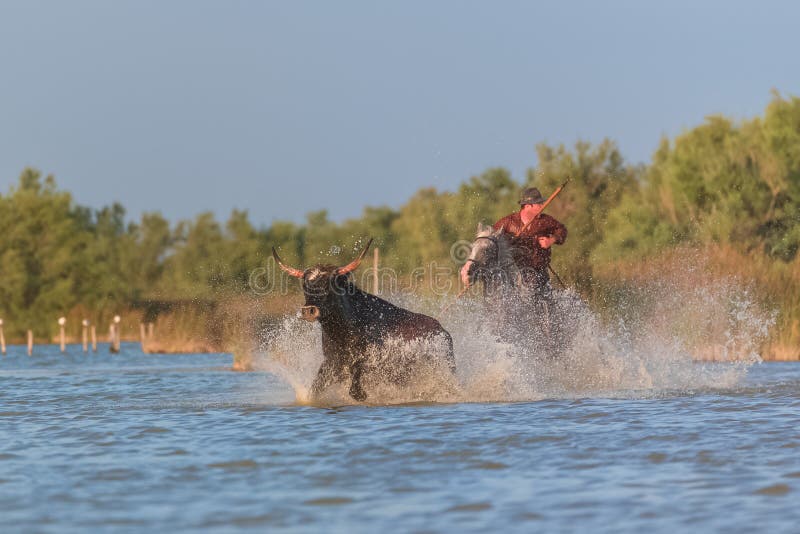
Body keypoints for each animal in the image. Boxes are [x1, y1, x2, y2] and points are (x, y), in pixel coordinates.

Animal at [272, 239, 456, 402]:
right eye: (305, 286)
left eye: (329, 284)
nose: (308, 311)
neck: (342, 334)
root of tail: (443, 331)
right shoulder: (330, 364)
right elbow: (314, 390)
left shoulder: (372, 362)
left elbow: (356, 386)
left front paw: (362, 395)